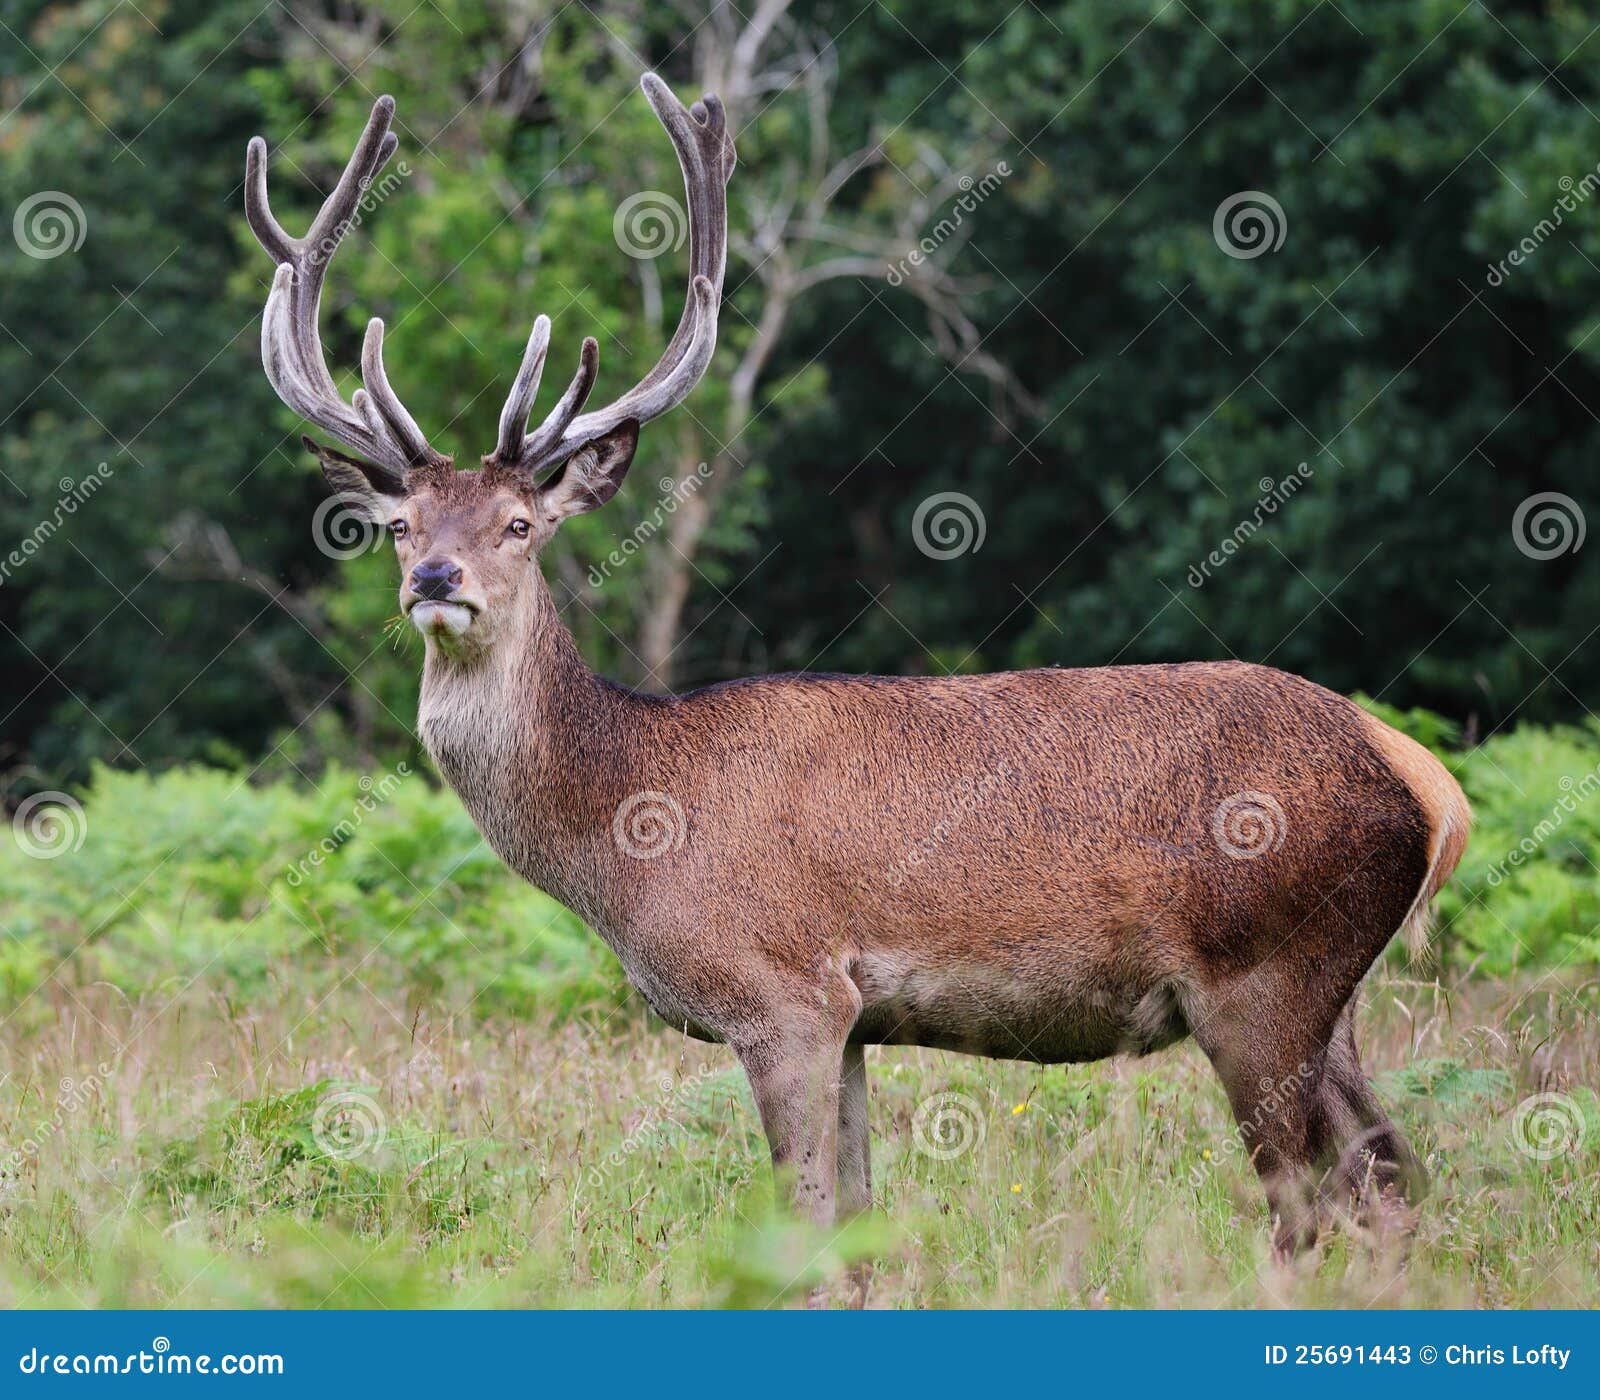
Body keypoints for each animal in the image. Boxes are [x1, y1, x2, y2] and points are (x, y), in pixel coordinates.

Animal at [243, 77, 1471, 1289]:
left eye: (518, 523)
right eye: (399, 524)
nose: (435, 579)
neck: (631, 828)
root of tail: (1426, 783)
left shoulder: (781, 990)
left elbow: (804, 1233)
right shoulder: (854, 1018)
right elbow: (858, 1234)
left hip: (1263, 971)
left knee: (1312, 1198)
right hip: (1333, 994)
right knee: (1396, 1180)